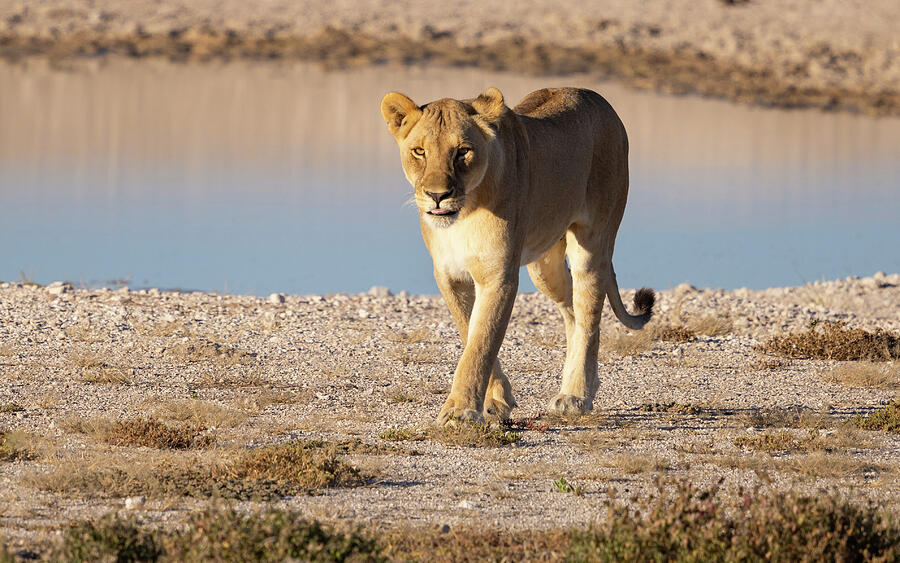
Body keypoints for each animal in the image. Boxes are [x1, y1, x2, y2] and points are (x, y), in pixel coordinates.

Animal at [380, 86, 654, 425]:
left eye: (462, 151)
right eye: (419, 151)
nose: (437, 195)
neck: (465, 213)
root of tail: (594, 96)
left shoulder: (499, 275)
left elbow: (481, 343)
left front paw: (460, 411)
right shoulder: (449, 275)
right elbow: (469, 331)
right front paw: (496, 400)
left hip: (592, 245)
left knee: (589, 316)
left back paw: (576, 395)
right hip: (544, 267)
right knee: (572, 312)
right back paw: (583, 385)